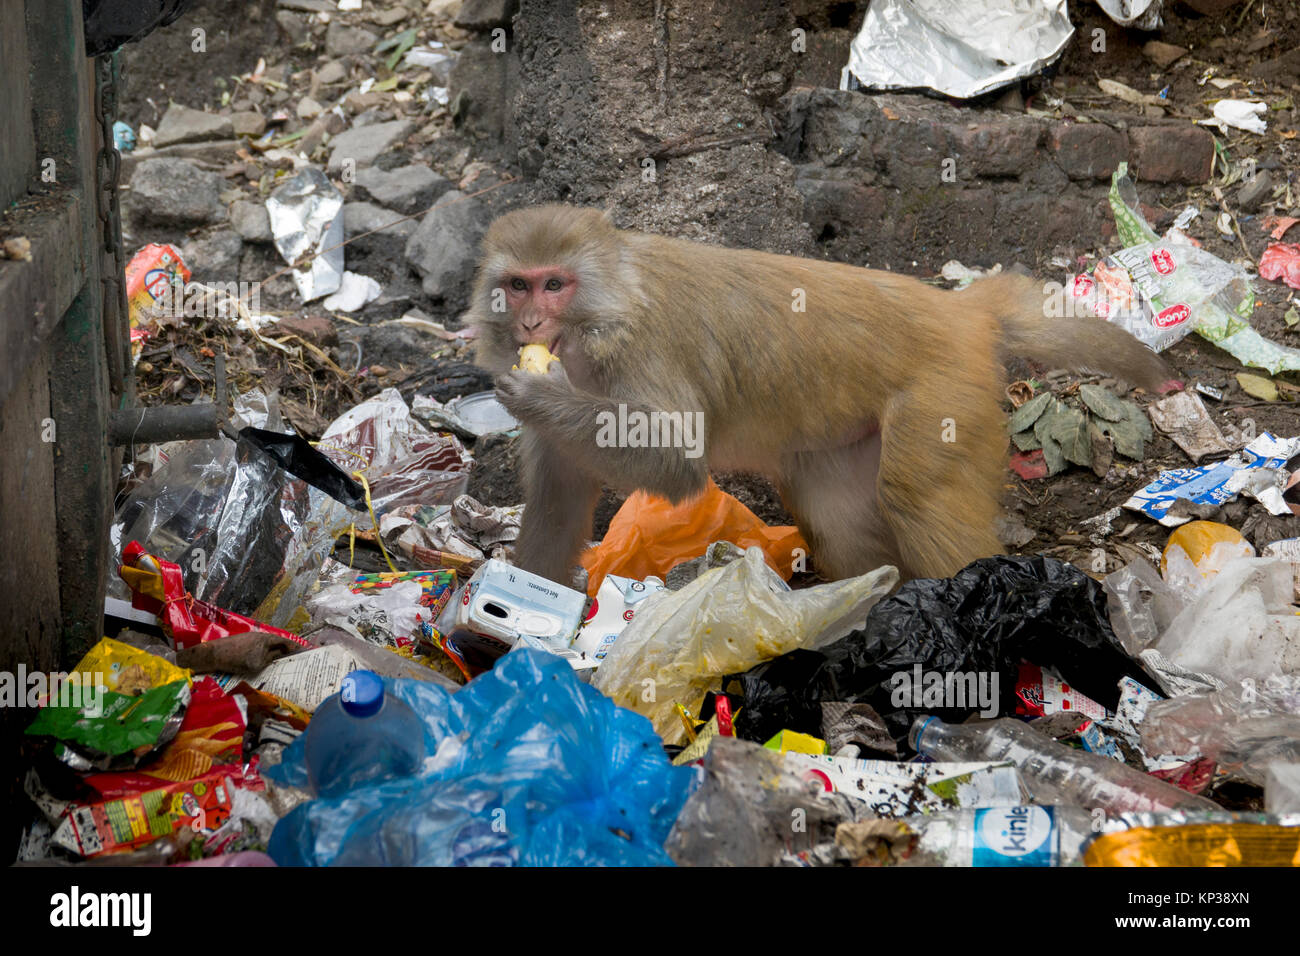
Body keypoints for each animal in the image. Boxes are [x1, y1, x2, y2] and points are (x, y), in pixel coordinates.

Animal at [467, 204, 1176, 586]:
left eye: (554, 284)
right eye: (517, 285)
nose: (530, 325)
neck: (607, 307)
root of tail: (958, 311)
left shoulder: (642, 351)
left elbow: (675, 460)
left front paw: (535, 392)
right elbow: (558, 499)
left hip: (943, 394)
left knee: (916, 496)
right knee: (835, 513)